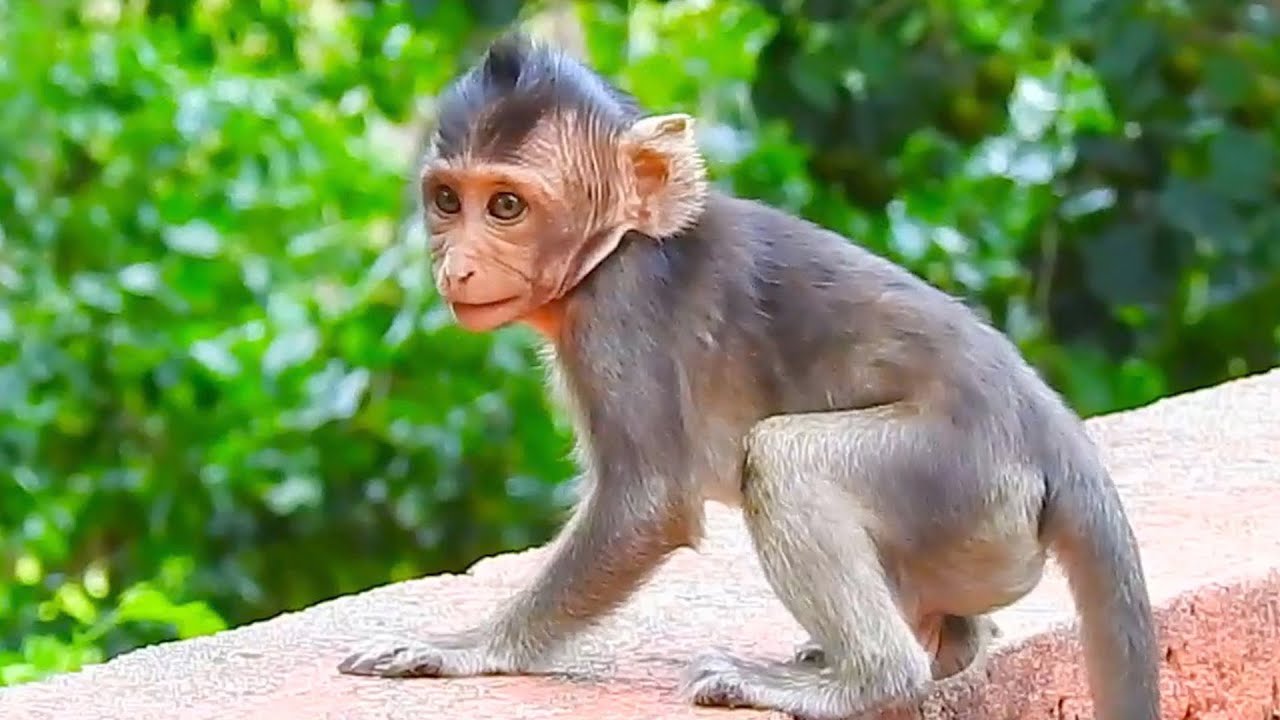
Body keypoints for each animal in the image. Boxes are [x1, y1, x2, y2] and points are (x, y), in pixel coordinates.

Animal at [337, 33, 1161, 720]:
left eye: (506, 206)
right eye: (448, 201)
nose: (456, 266)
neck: (621, 242)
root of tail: (1055, 436)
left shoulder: (620, 313)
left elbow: (648, 505)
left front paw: (463, 648)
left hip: (957, 479)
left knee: (783, 459)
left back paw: (860, 679)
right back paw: (941, 643)